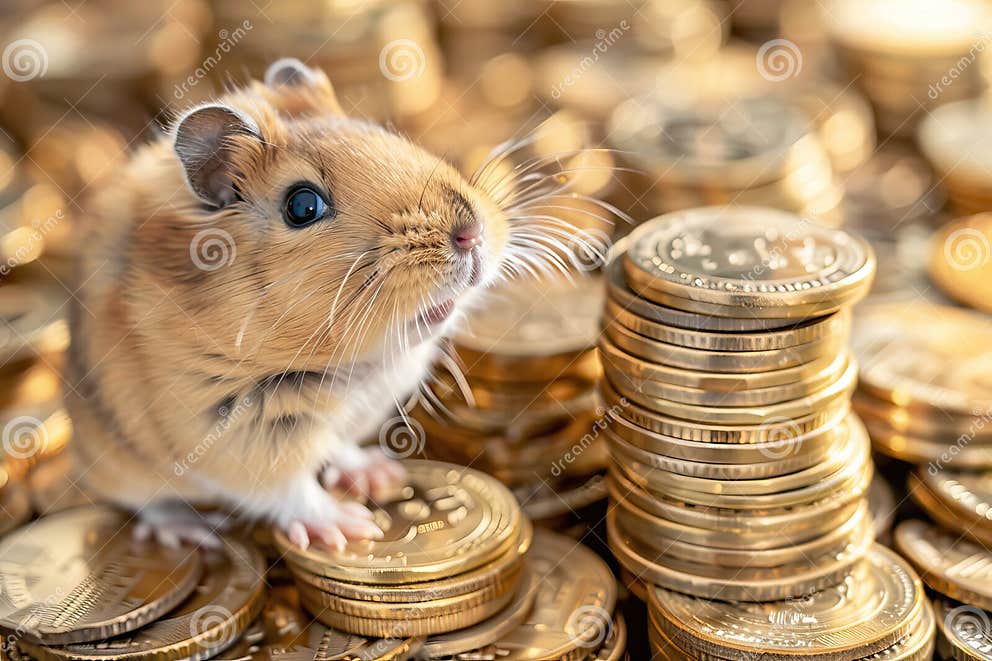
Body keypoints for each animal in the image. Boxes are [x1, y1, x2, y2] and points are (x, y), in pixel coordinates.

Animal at [64, 58, 585, 550]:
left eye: (385, 135)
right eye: (302, 206)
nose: (471, 235)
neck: (352, 363)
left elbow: (336, 446)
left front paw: (383, 475)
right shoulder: (227, 432)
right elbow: (290, 489)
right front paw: (351, 527)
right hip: (120, 465)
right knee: (149, 505)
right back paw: (191, 531)